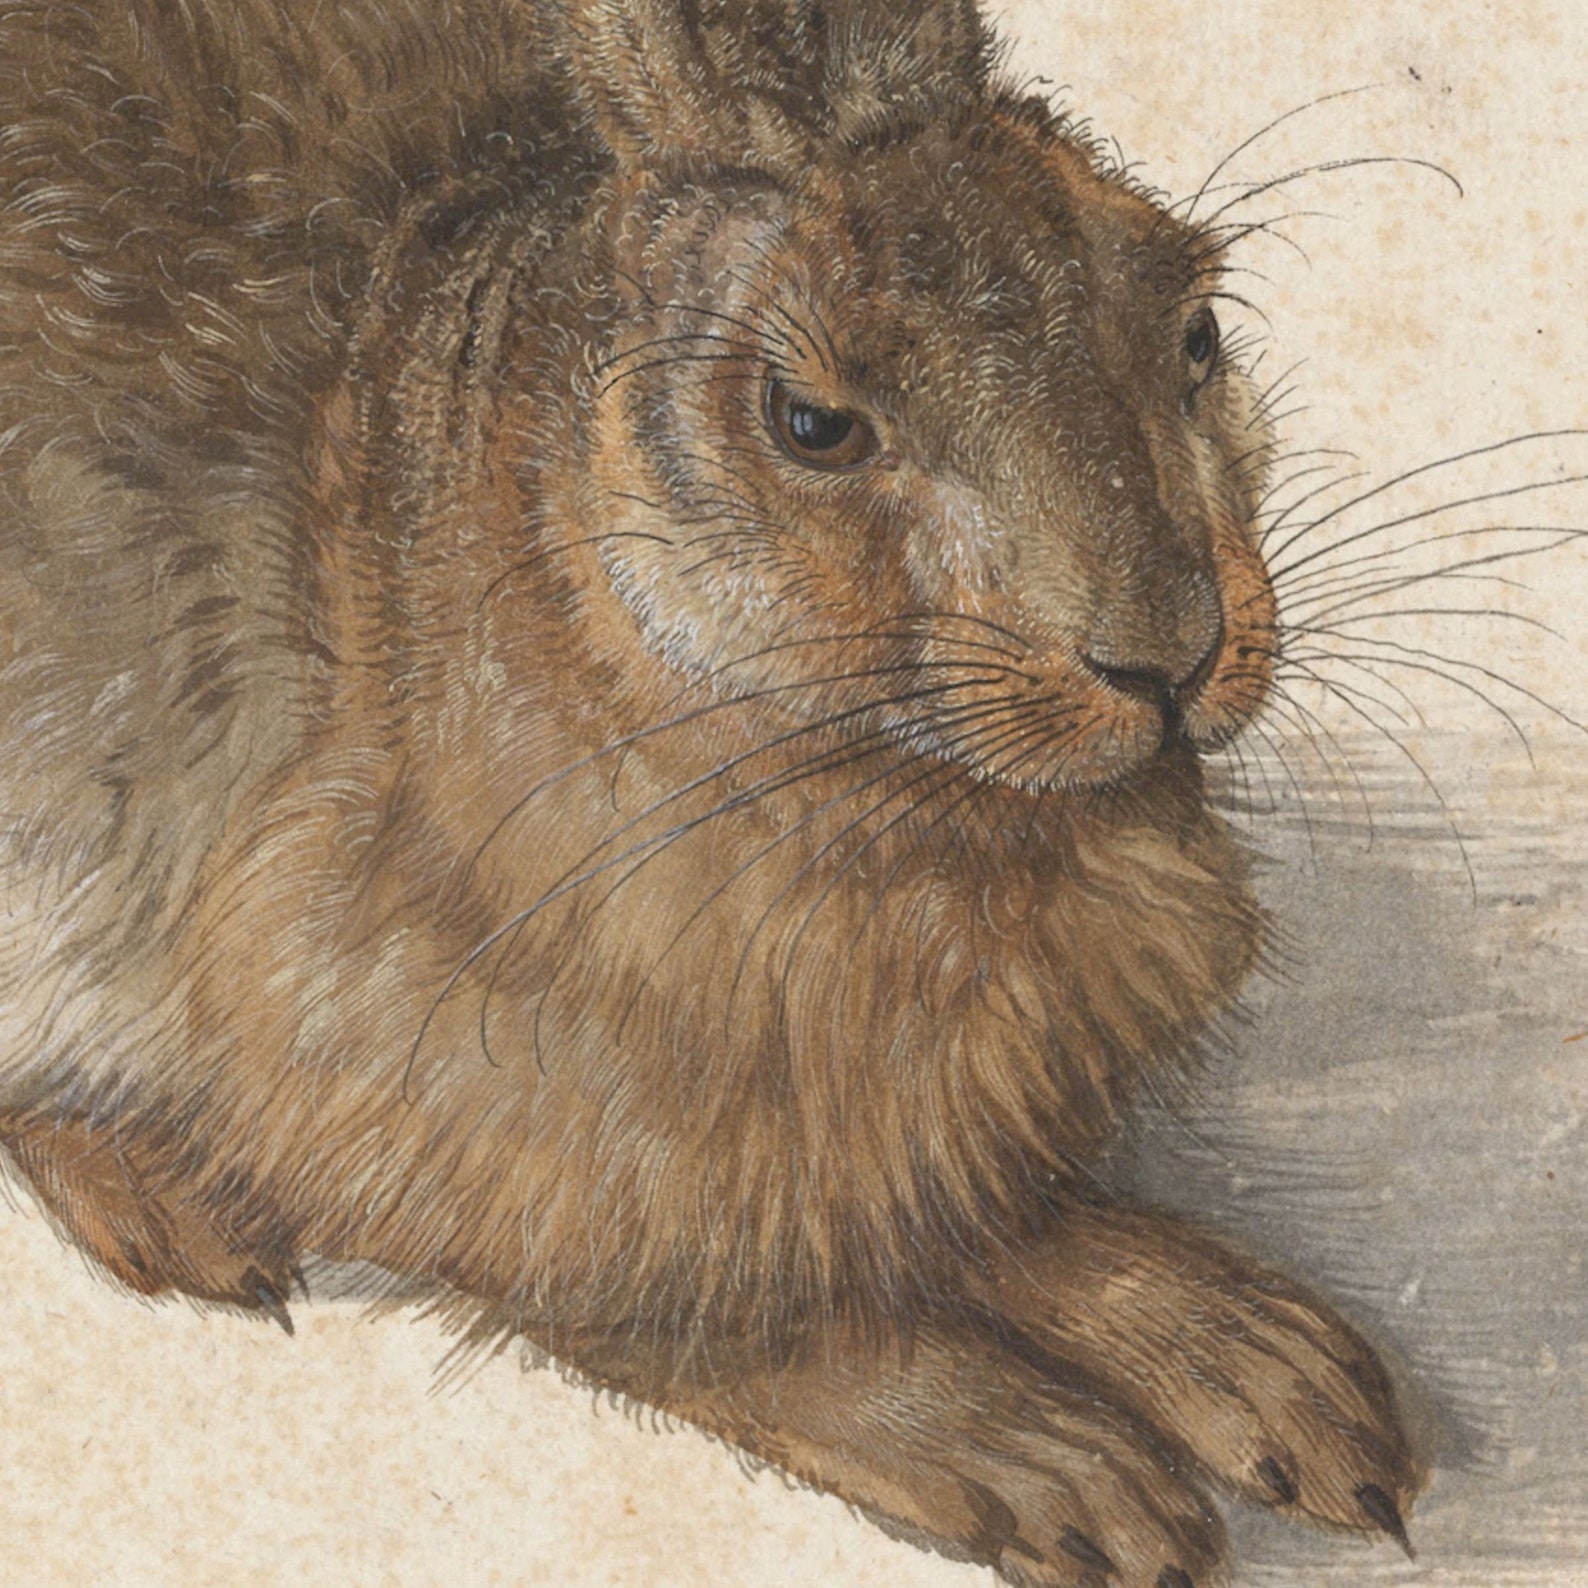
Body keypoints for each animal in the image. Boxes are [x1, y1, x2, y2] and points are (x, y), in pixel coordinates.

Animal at [0, 1, 1422, 1583]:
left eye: (1195, 329)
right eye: (810, 425)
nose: (1168, 656)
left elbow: (986, 1213)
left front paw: (1262, 1364)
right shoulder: (465, 1091)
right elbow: (731, 1320)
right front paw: (1055, 1463)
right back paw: (173, 1211)